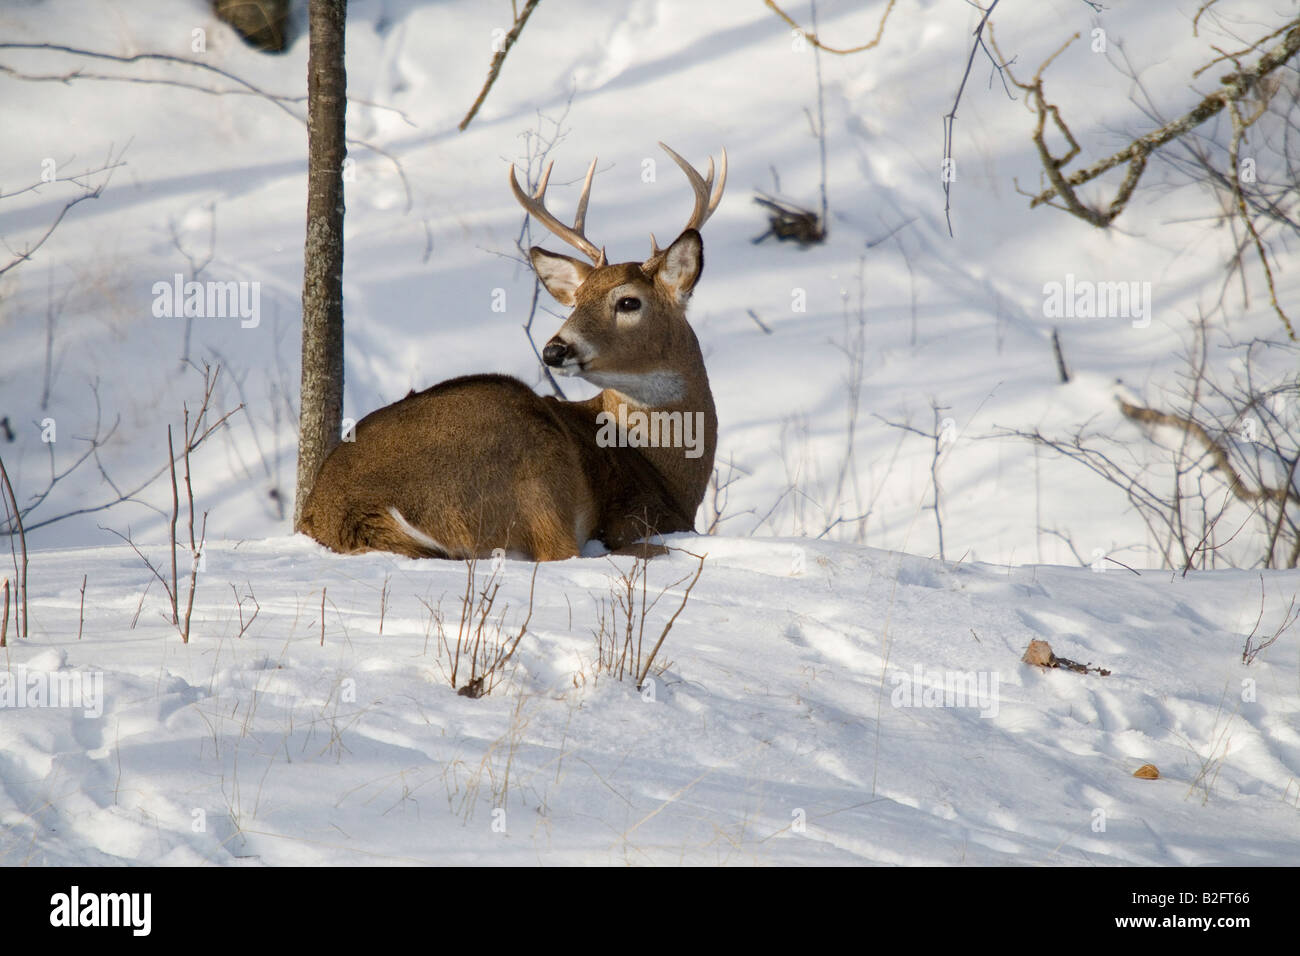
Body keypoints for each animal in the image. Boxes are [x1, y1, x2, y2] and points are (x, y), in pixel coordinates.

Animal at [299, 143, 726, 561]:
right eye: (577, 300)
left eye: (628, 302)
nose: (555, 350)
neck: (665, 469)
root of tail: (352, 512)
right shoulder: (638, 515)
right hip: (531, 463)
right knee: (561, 552)